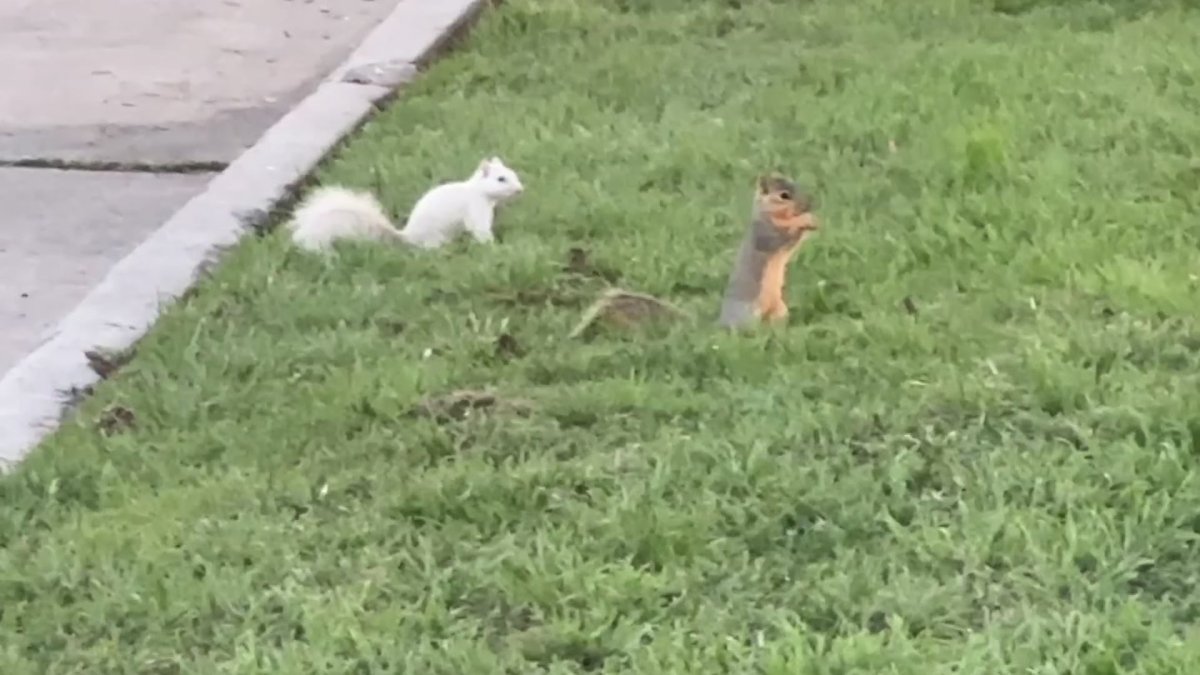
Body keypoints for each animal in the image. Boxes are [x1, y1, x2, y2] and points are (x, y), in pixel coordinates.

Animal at [286, 156, 524, 252]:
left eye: (513, 173)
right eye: (501, 179)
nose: (520, 189)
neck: (478, 191)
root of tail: (408, 237)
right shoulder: (474, 209)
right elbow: (480, 229)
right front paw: (493, 245)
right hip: (435, 238)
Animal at [570, 173, 817, 337]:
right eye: (784, 195)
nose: (809, 205)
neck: (769, 214)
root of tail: (721, 325)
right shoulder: (763, 233)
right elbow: (780, 239)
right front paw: (804, 222)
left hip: (779, 310)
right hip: (749, 312)